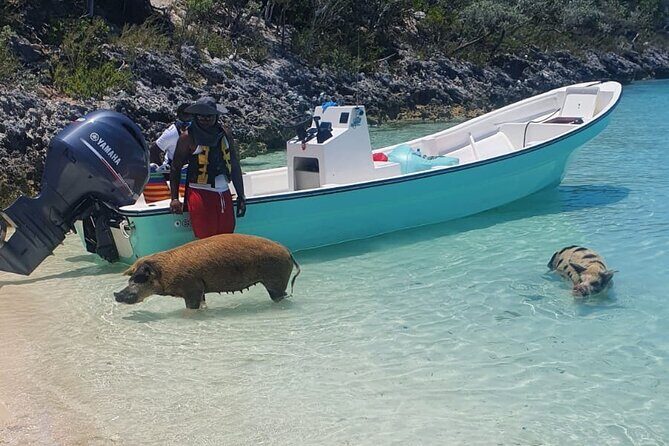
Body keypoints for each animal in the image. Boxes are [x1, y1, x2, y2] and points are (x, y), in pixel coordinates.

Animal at [114, 234, 301, 309]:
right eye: (130, 279)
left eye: (140, 278)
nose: (116, 294)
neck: (165, 272)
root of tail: (288, 252)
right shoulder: (200, 289)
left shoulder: (191, 288)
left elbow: (192, 307)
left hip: (276, 279)